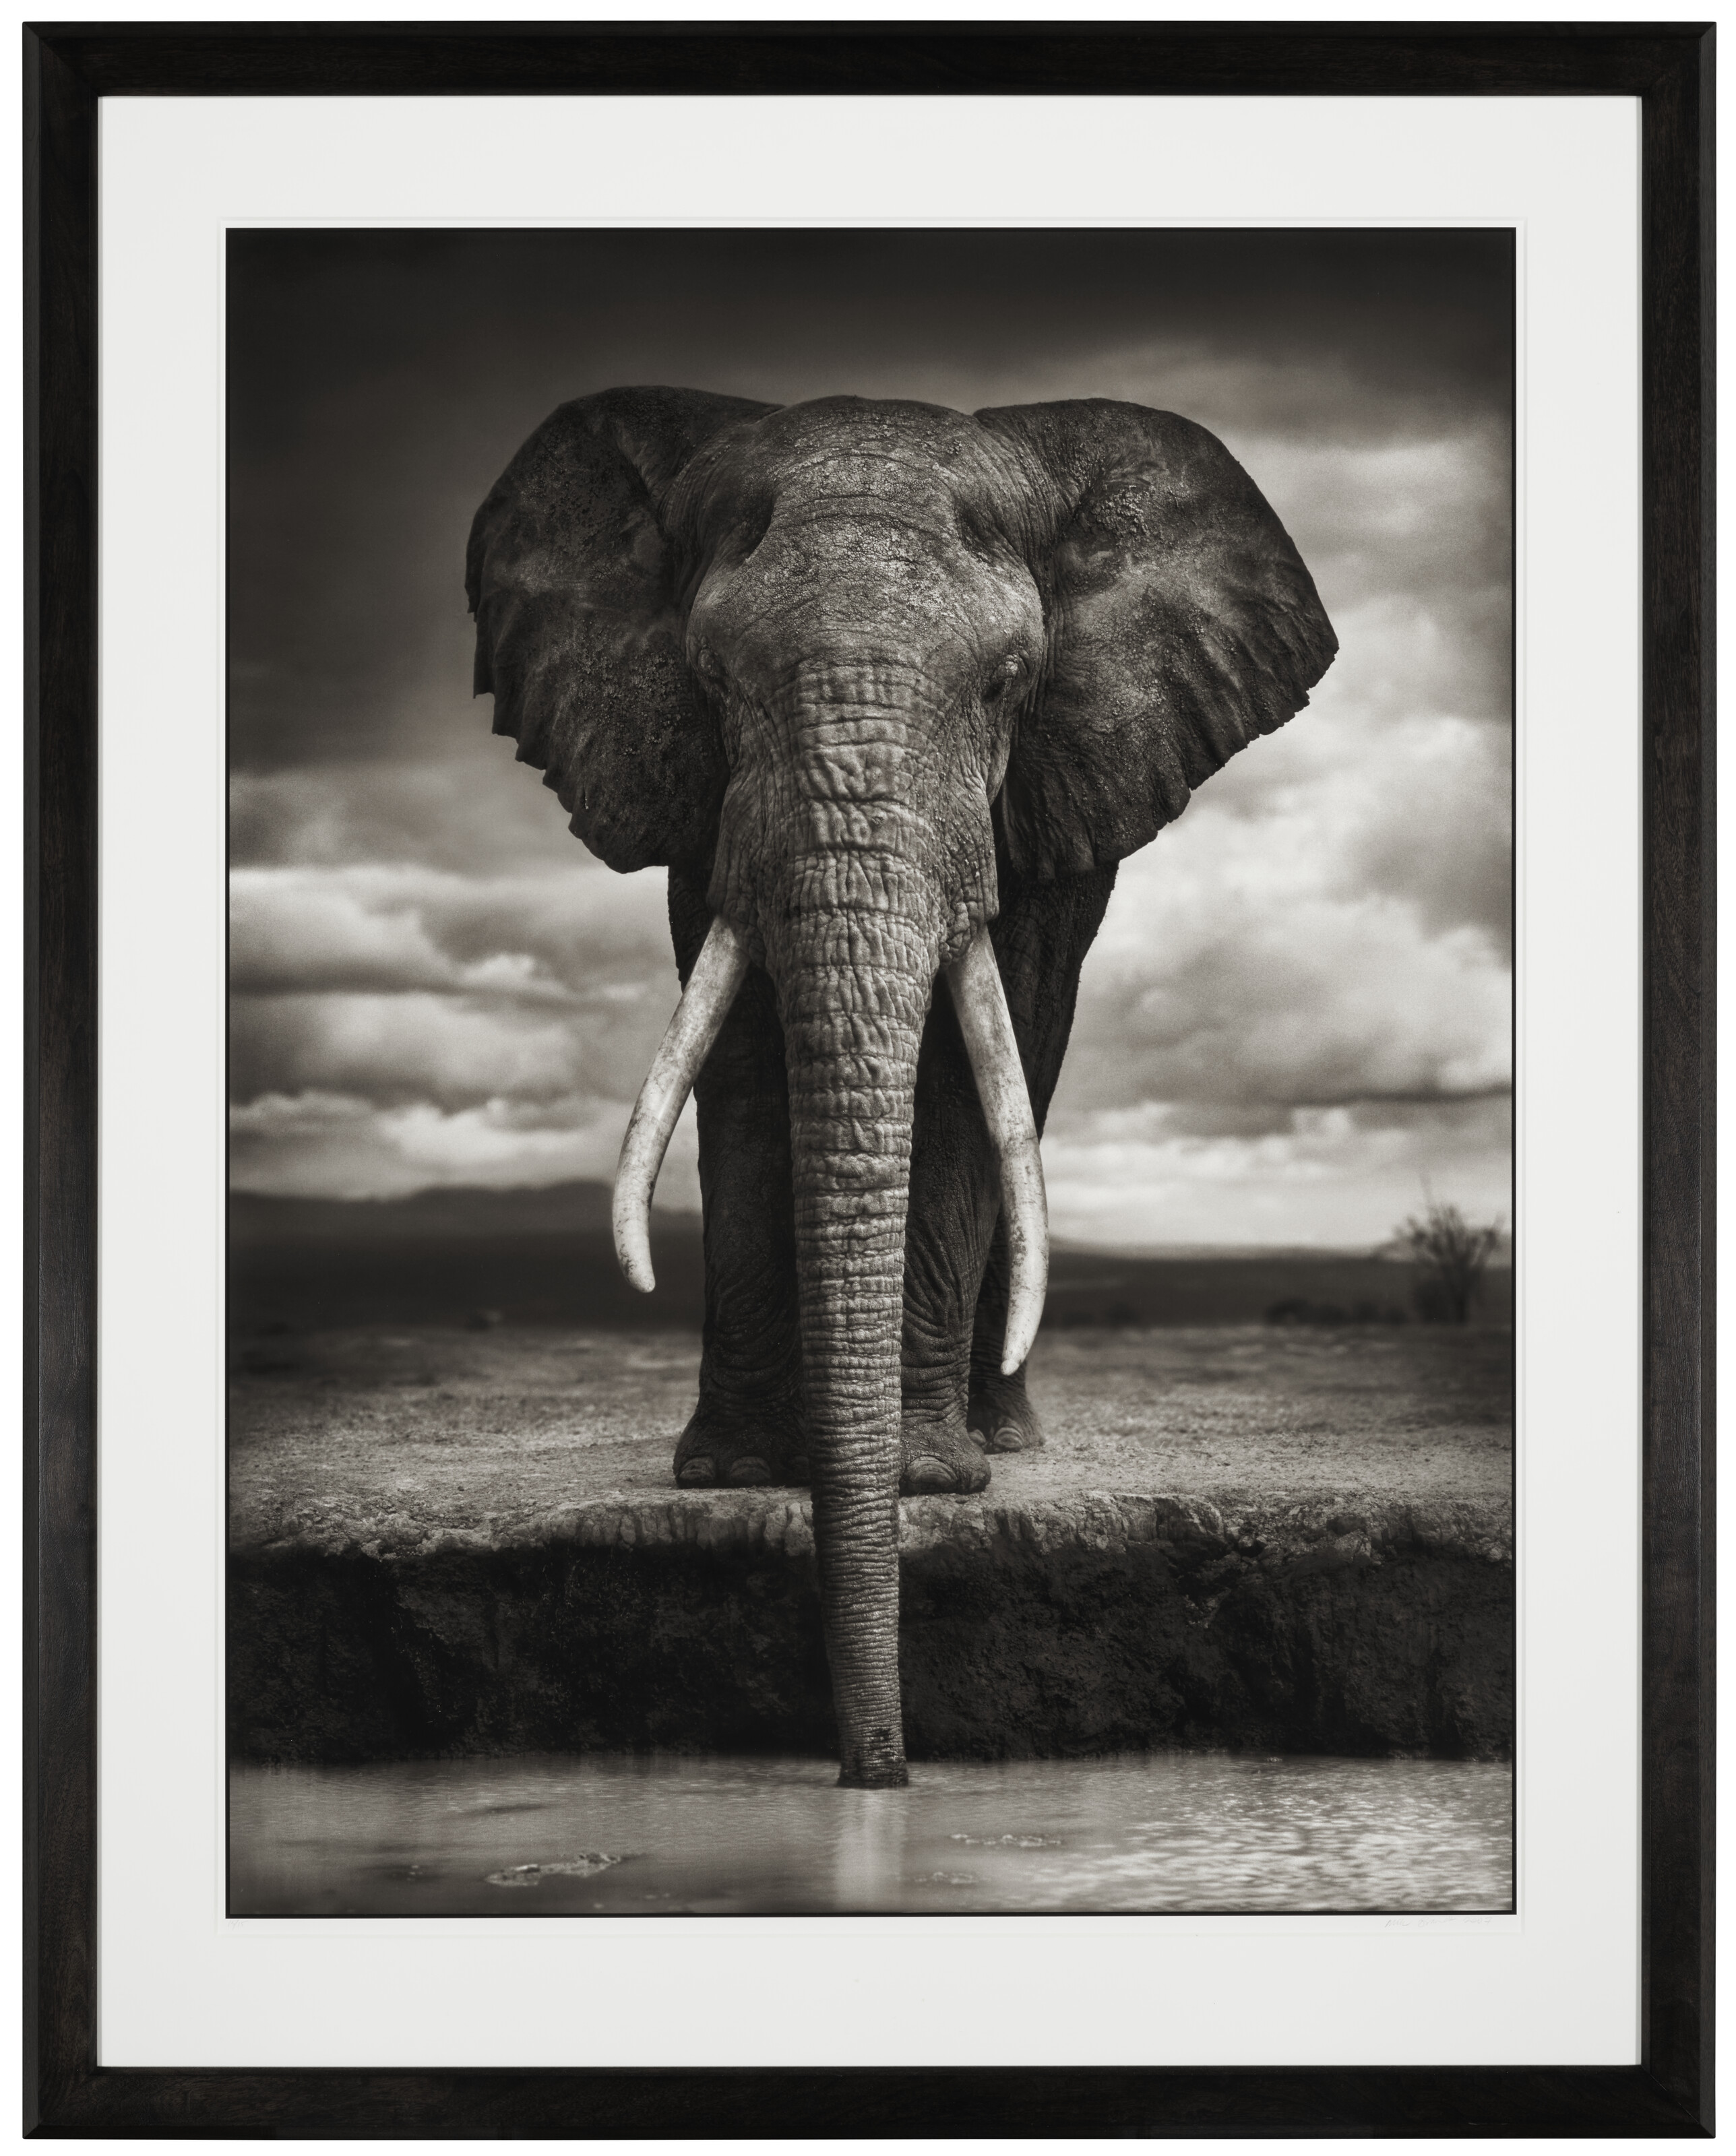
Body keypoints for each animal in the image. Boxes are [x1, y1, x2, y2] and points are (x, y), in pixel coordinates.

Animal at [467, 388, 1335, 1787]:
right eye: (712, 679)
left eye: (1009, 683)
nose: (878, 1770)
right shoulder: (702, 799)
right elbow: (743, 1059)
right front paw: (736, 1475)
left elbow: (980, 1066)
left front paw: (926, 1482)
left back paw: (1003, 1440)